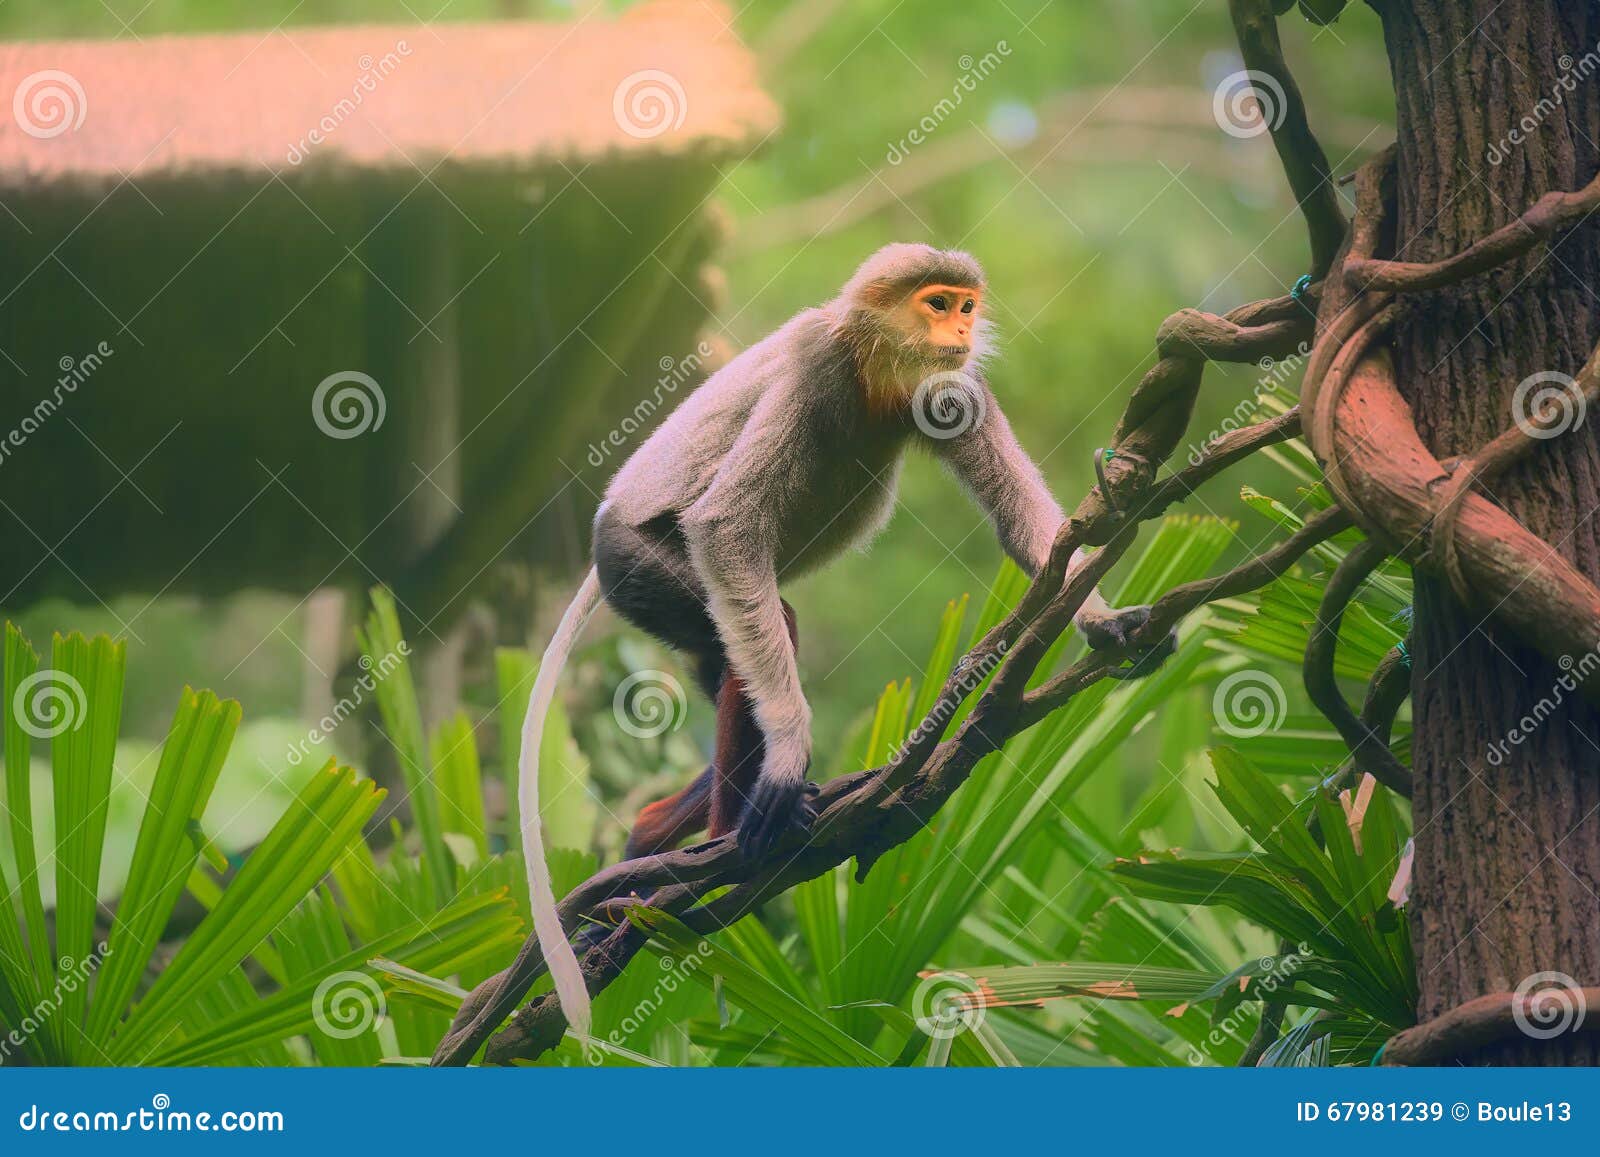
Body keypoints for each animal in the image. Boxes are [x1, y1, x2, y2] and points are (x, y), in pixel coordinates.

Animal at [514, 243, 1172, 1042]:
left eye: (966, 306)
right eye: (937, 304)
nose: (962, 329)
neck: (872, 376)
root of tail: (602, 530)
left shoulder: (951, 386)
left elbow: (1026, 527)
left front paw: (1107, 621)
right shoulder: (816, 365)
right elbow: (727, 527)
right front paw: (790, 757)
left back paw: (649, 846)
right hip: (641, 567)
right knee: (761, 622)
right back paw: (735, 829)